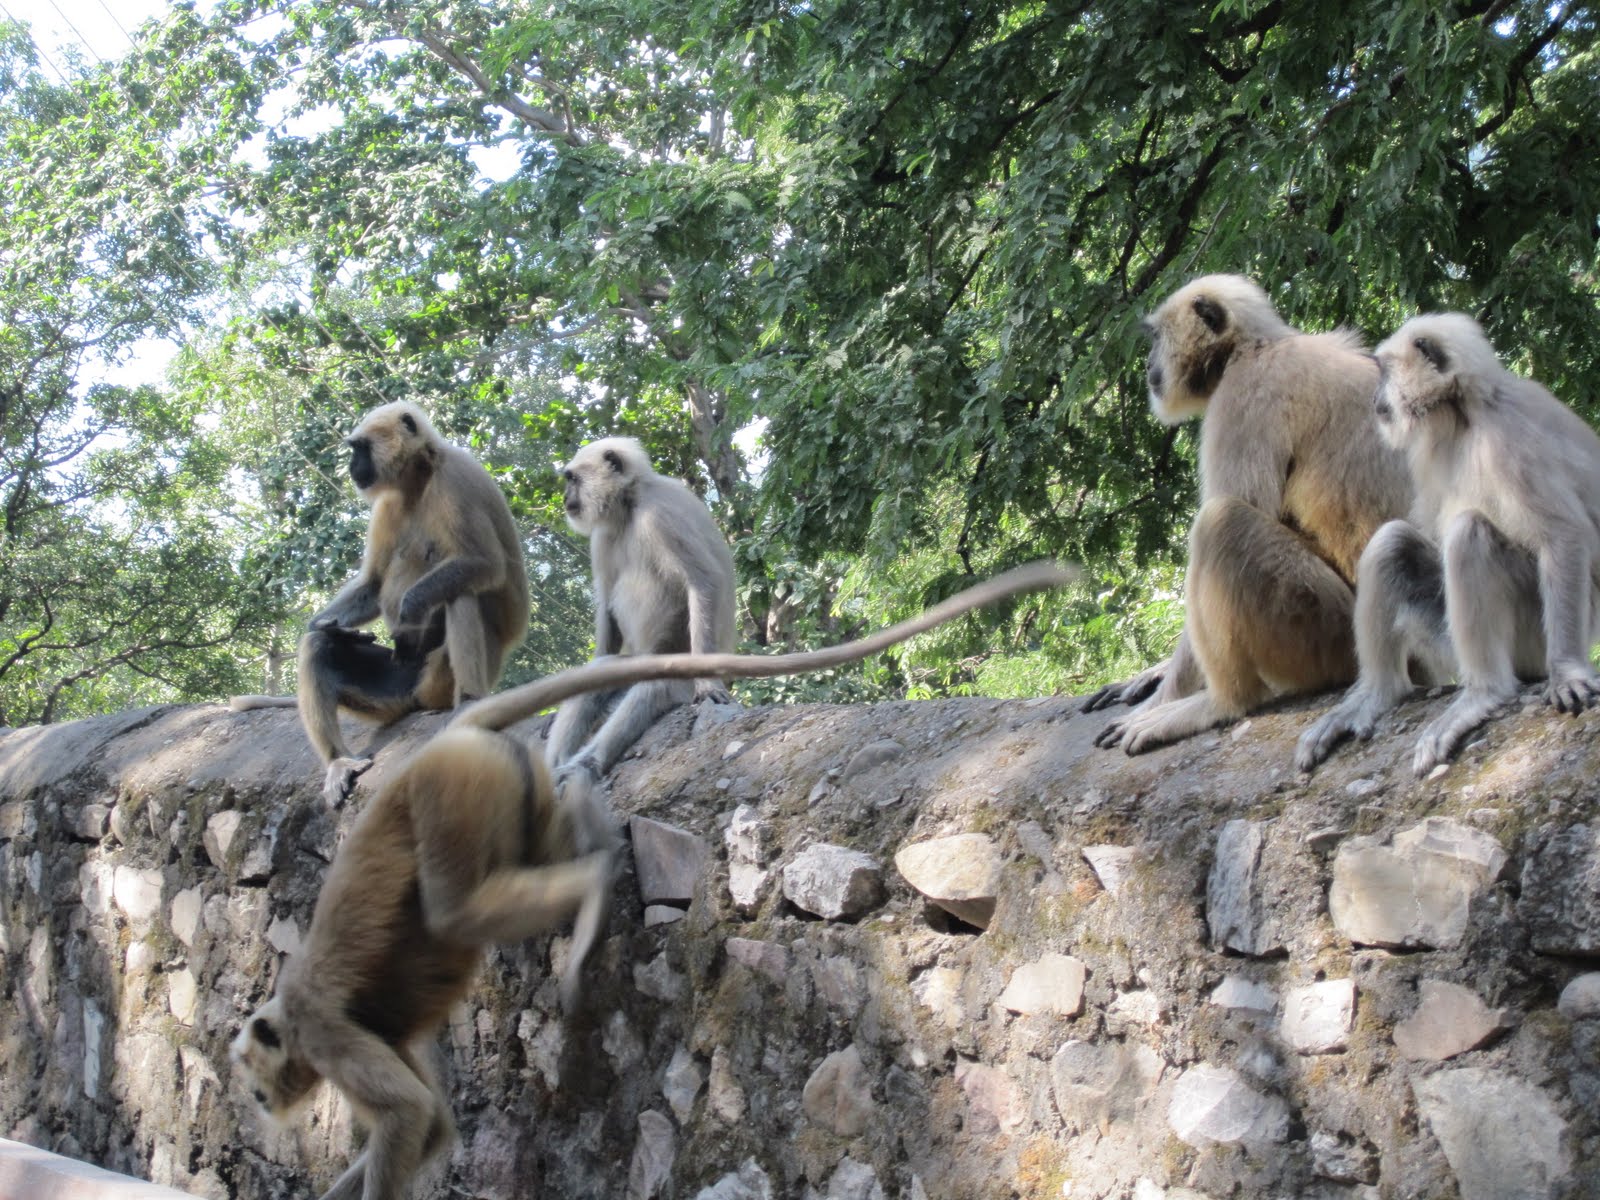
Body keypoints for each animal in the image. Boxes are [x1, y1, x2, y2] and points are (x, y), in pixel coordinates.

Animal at [230, 560, 1071, 1200]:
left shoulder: (325, 1030)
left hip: (451, 797)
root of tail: (446, 740)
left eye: (250, 1074)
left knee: (457, 910)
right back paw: (590, 828)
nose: (257, 1104)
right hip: (497, 786)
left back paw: (592, 888)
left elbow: (408, 1117)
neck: (293, 1024)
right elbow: (431, 1125)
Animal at [231, 401, 529, 808]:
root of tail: (416, 699)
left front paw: (409, 611)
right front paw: (327, 625)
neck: (418, 480)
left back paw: (469, 700)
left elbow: (484, 563)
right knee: (320, 647)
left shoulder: (456, 475)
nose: (352, 466)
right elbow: (371, 587)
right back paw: (339, 760)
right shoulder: (389, 503)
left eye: (360, 448)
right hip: (394, 689)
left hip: (439, 679)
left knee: (462, 592)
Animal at [543, 436, 737, 795]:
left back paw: (583, 766)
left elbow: (703, 581)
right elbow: (606, 605)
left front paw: (708, 683)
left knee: (653, 686)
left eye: (572, 479)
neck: (629, 504)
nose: (565, 498)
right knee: (603, 671)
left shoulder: (658, 515)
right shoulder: (602, 537)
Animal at [1086, 274, 1413, 754]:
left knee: (1222, 521)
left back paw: (1222, 702)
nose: (1148, 366)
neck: (1257, 344)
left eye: (1156, 339)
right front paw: (1155, 673)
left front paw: (1163, 696)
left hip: (1326, 627)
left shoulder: (1243, 395)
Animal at [1295, 313, 1600, 776]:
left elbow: (1562, 535)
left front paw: (1567, 672)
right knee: (1393, 542)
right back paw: (1376, 694)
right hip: (1447, 641)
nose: (1375, 398)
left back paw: (1484, 693)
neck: (1464, 414)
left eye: (1384, 373)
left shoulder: (1506, 434)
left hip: (1530, 641)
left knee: (1470, 532)